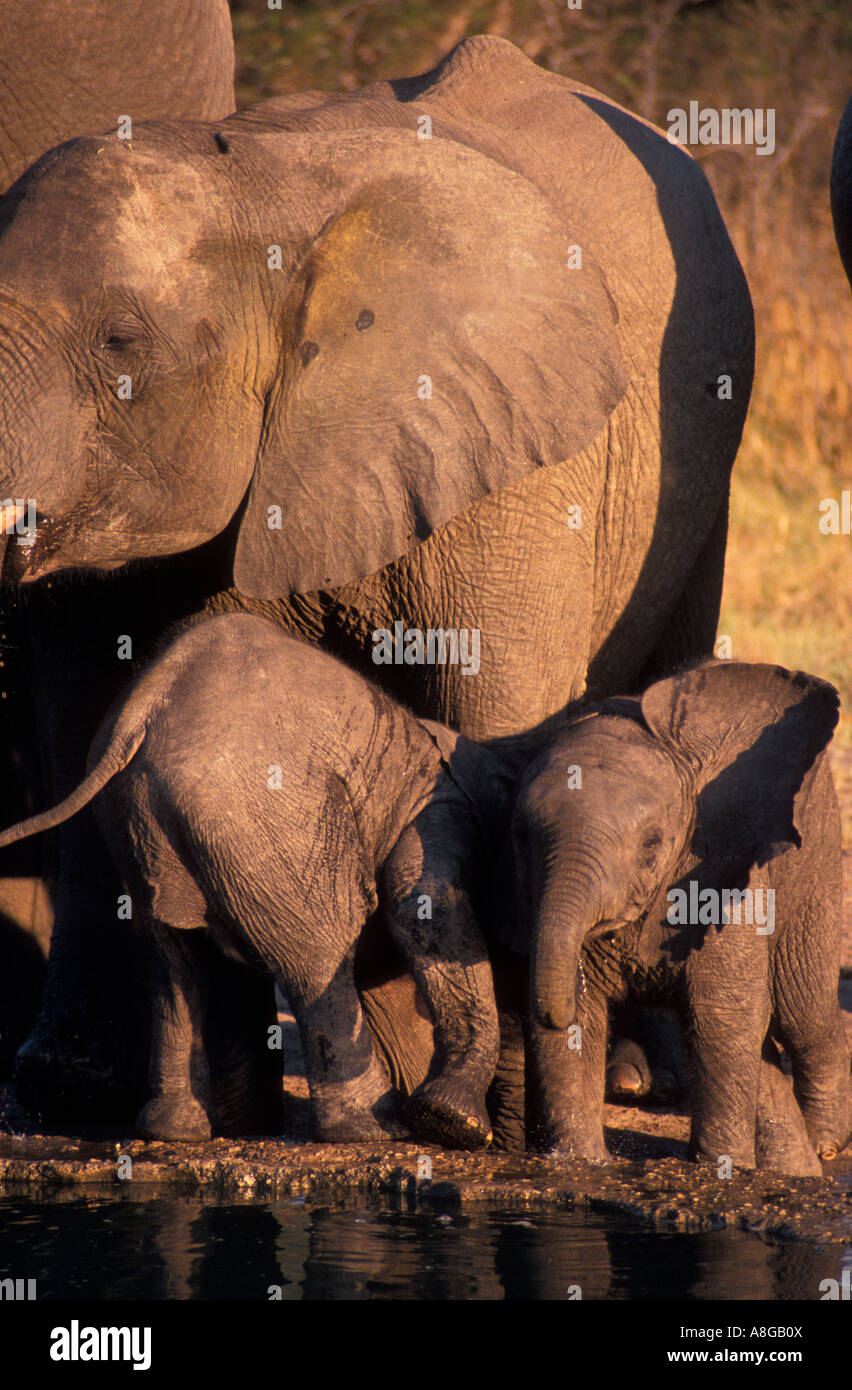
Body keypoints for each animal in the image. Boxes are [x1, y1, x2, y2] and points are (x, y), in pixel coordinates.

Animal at [0, 612, 508, 1147]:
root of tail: (140, 713)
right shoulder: (437, 814)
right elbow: (424, 908)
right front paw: (452, 1124)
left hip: (137, 821)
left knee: (173, 959)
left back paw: (173, 1131)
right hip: (264, 809)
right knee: (320, 951)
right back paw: (372, 1129)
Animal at [502, 659, 850, 1175]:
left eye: (651, 845)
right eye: (520, 837)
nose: (552, 1010)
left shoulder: (726, 879)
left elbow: (721, 1017)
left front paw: (721, 1169)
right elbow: (581, 1019)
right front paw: (581, 1164)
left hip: (818, 852)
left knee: (802, 1007)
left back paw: (826, 1142)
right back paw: (796, 1164)